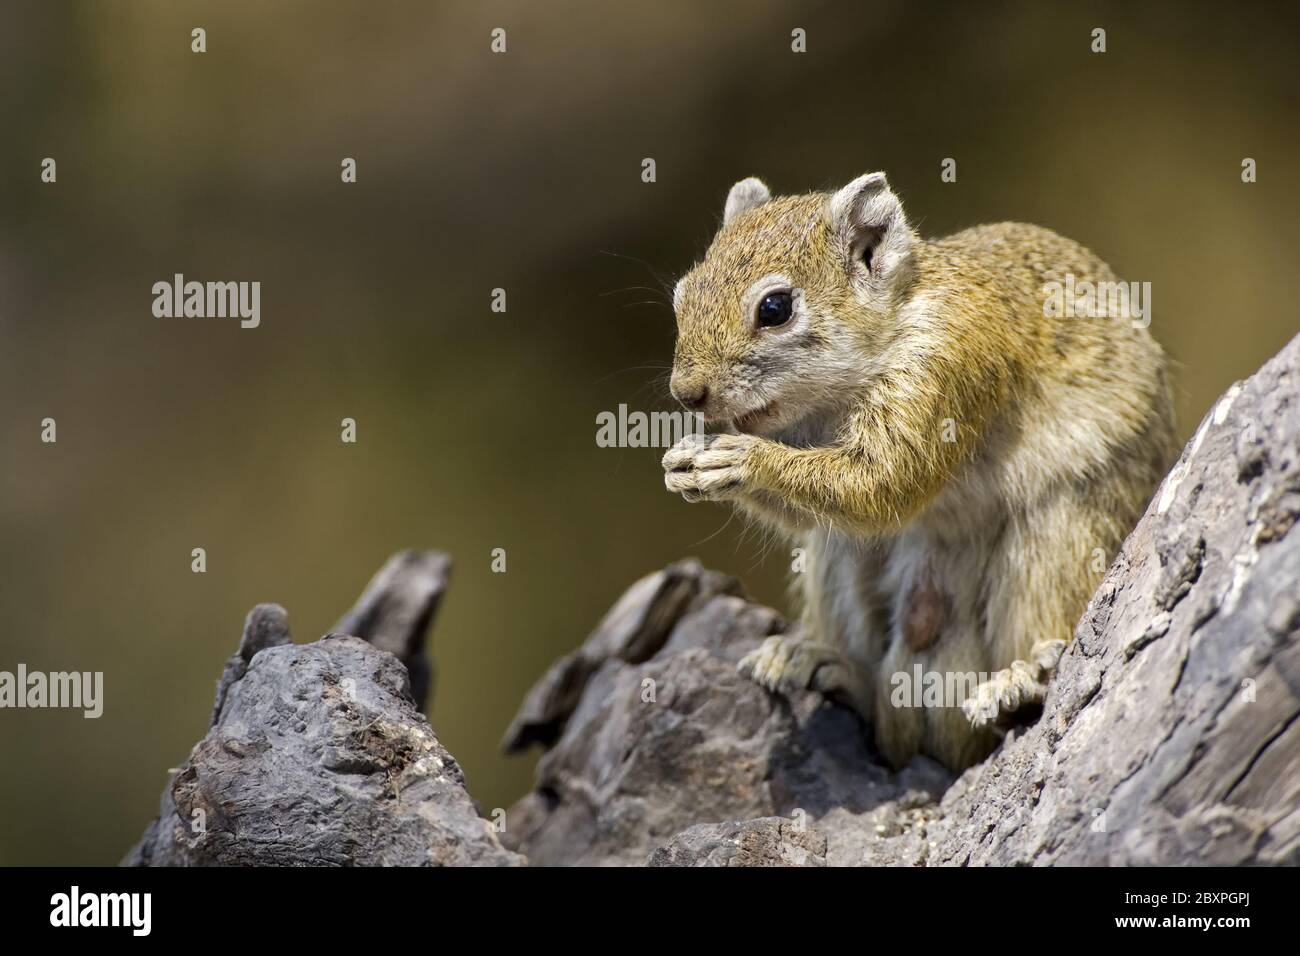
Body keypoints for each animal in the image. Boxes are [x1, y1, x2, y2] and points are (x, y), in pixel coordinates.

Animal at [661, 172, 1175, 771]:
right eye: (682, 294)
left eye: (775, 307)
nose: (687, 394)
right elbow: (815, 512)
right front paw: (683, 460)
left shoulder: (946, 367)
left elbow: (884, 484)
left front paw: (740, 459)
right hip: (838, 563)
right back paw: (820, 664)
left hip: (1059, 537)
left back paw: (1019, 682)